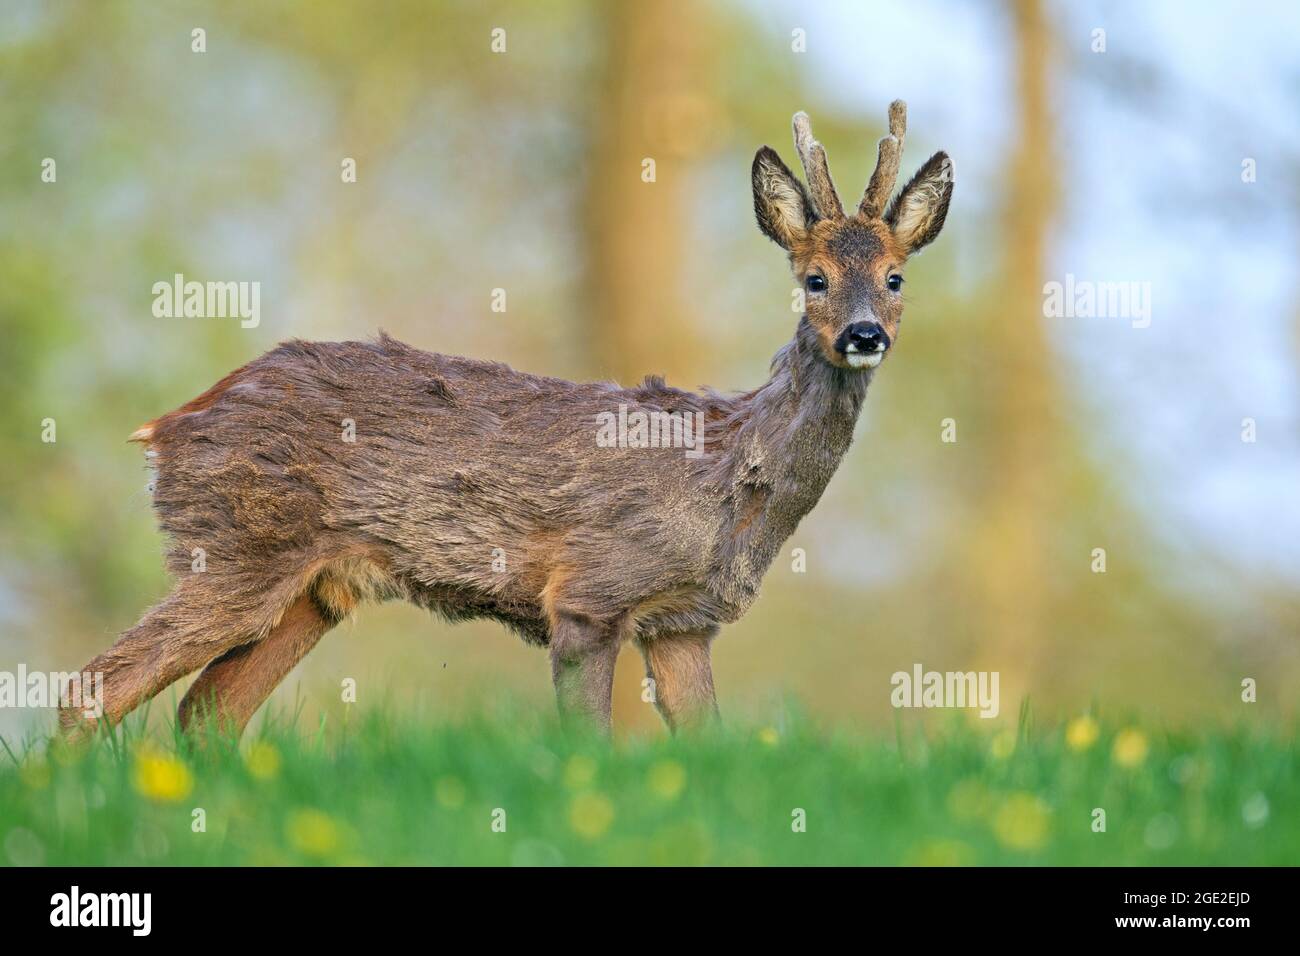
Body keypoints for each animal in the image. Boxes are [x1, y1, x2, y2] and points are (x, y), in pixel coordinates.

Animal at [60, 101, 952, 742]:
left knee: (205, 714)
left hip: (313, 589)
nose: (863, 335)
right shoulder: (591, 591)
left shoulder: (684, 624)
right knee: (91, 689)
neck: (735, 482)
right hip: (234, 548)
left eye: (896, 277)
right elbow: (587, 742)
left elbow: (711, 744)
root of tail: (167, 426)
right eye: (813, 277)